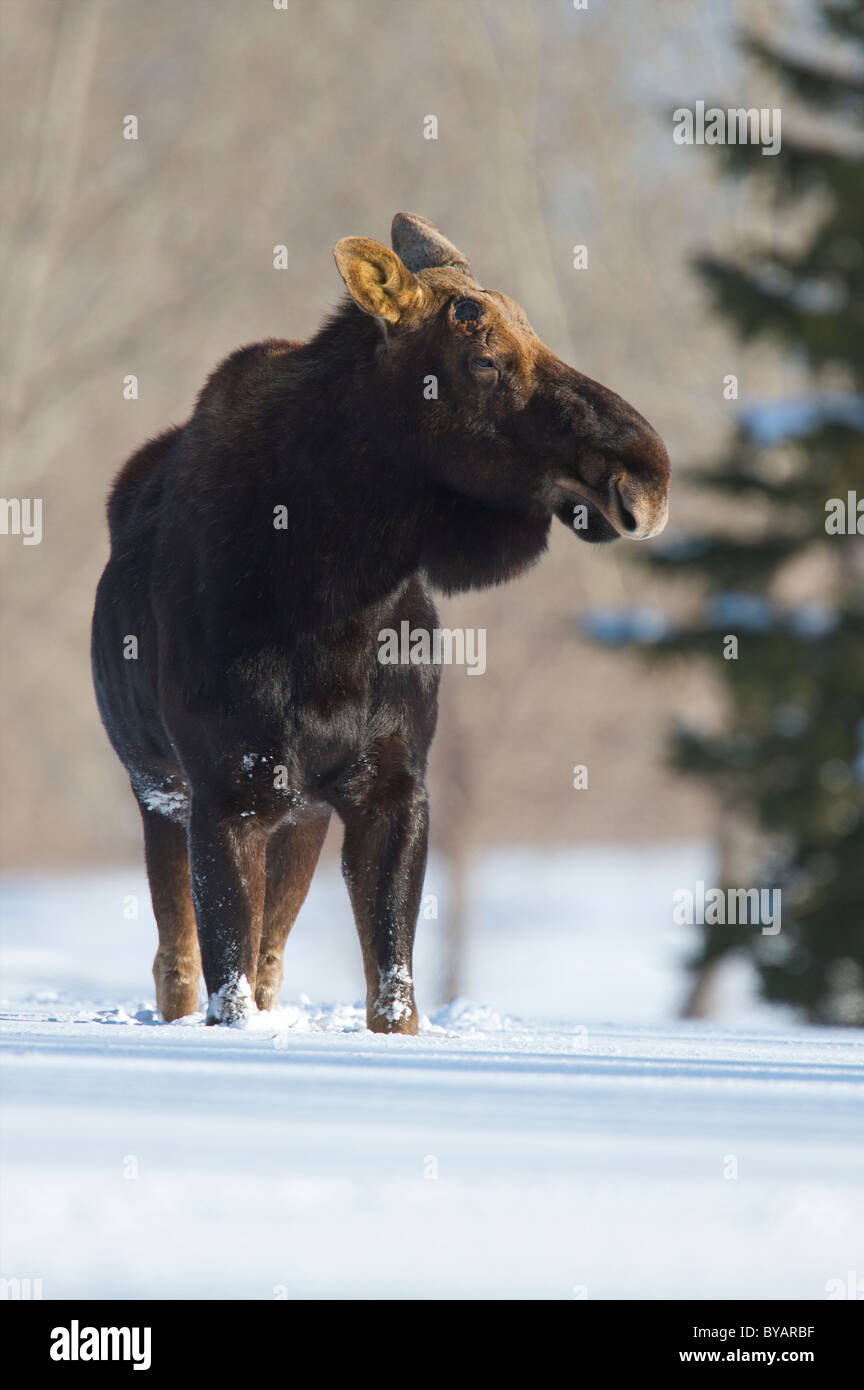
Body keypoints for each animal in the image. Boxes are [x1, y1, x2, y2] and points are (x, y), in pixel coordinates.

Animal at [91, 213, 670, 1034]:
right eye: (484, 357)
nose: (647, 472)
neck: (335, 594)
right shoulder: (225, 791)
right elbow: (227, 991)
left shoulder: (391, 786)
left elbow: (393, 994)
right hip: (158, 788)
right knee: (176, 966)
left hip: (298, 815)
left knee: (269, 961)